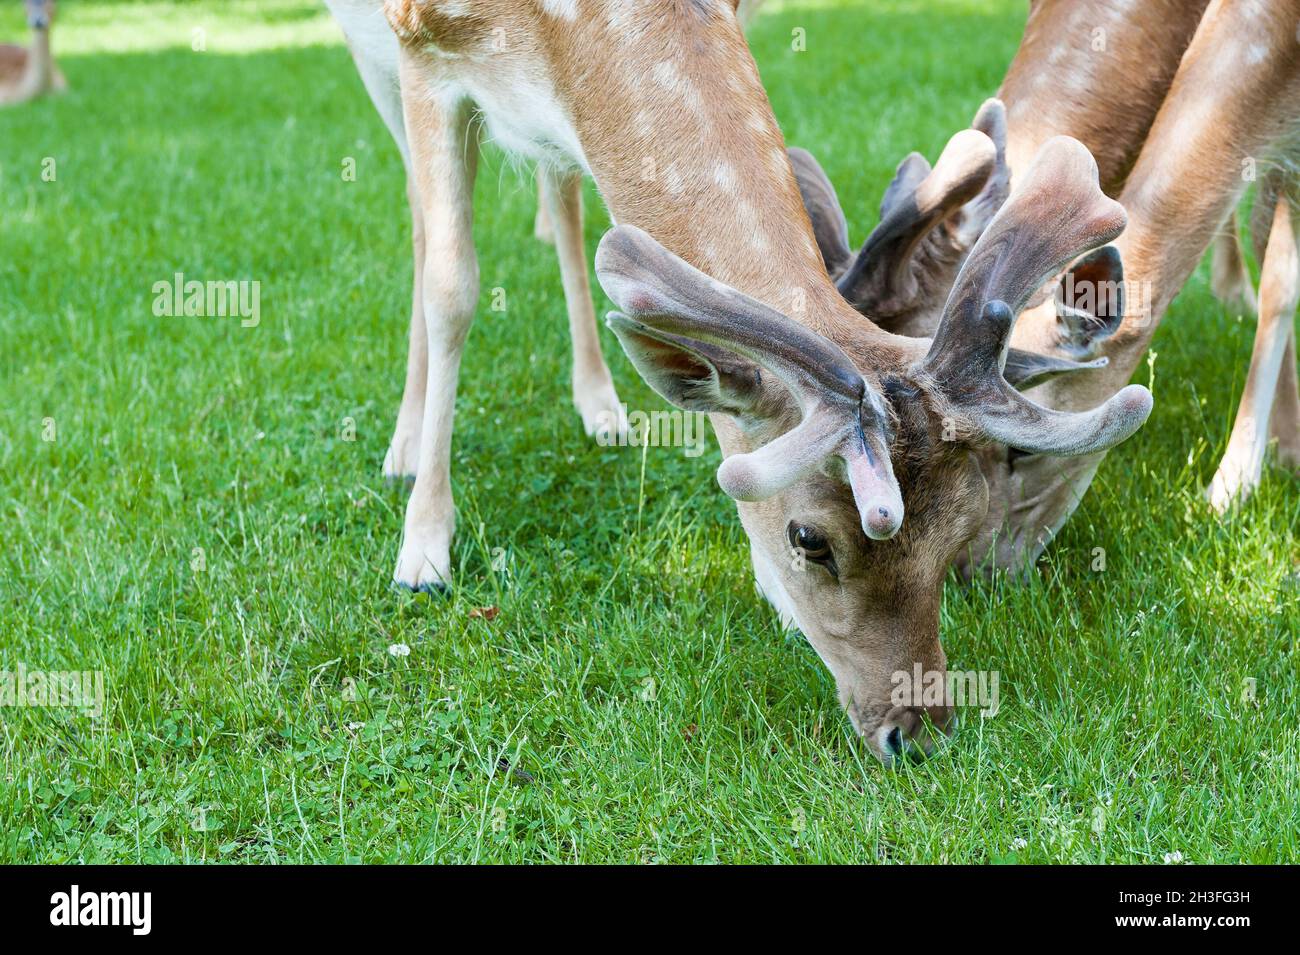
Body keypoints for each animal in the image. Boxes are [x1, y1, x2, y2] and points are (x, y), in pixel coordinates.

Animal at [319, 0, 1151, 761]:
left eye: (964, 527)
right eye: (810, 539)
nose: (916, 733)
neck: (554, 29)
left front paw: (768, 589)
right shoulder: (419, 48)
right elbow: (452, 286)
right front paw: (424, 549)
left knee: (562, 198)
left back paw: (600, 405)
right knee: (426, 223)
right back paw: (403, 449)